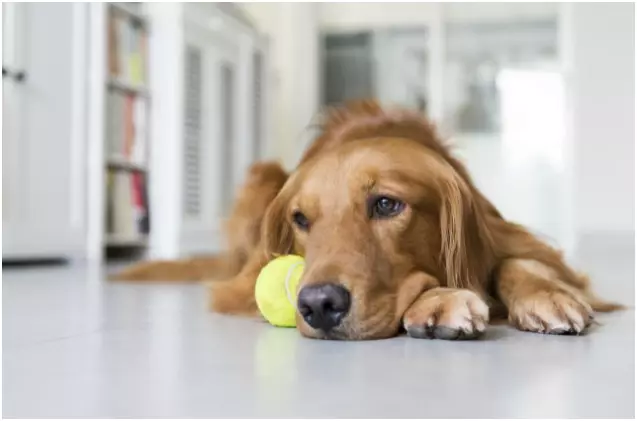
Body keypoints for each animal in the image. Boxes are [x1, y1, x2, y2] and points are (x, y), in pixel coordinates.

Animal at [112, 100, 620, 340]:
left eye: (387, 205)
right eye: (301, 219)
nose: (318, 305)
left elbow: (522, 262)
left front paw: (547, 294)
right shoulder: (243, 283)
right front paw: (439, 300)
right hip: (263, 176)